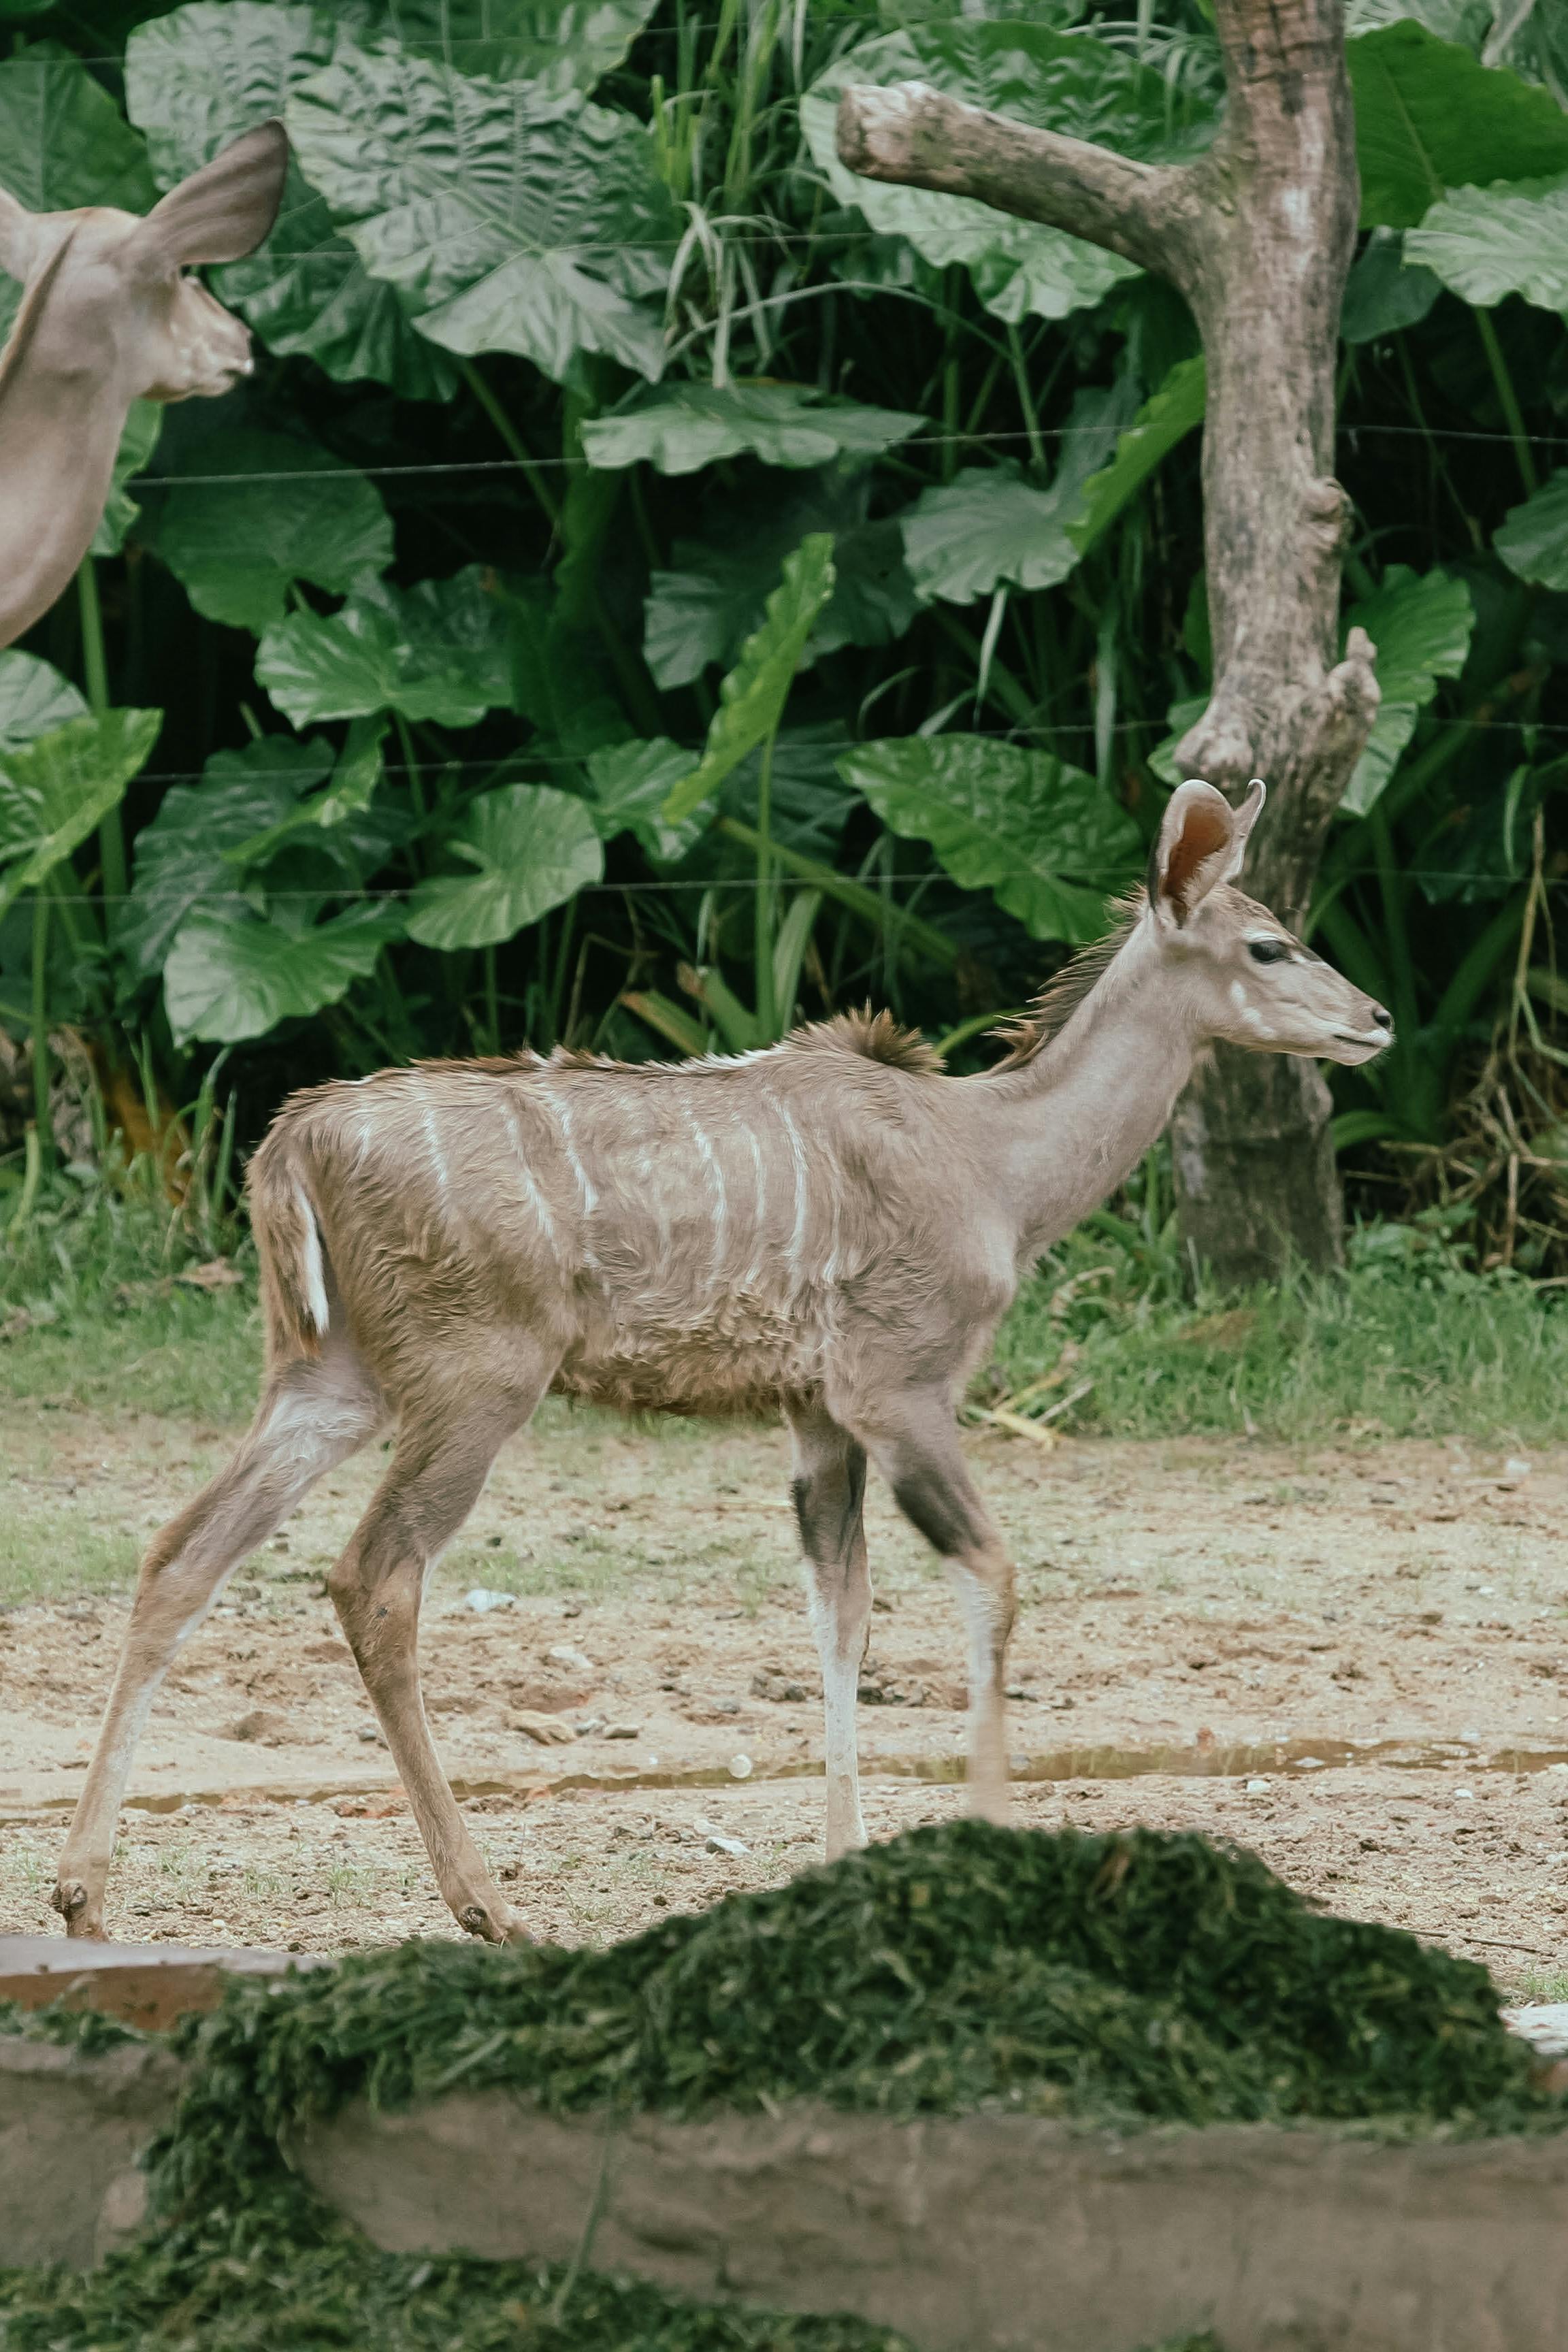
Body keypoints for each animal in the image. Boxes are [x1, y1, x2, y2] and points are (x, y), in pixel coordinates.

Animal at [52, 780, 1391, 1945]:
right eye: (1269, 944)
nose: (1374, 1019)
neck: (995, 1162)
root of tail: (290, 1145)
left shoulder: (816, 1415)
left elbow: (841, 1611)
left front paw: (846, 1858)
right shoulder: (899, 1388)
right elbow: (991, 1578)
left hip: (330, 1381)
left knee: (182, 1554)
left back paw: (84, 1896)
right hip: (475, 1382)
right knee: (372, 1578)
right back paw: (488, 1907)